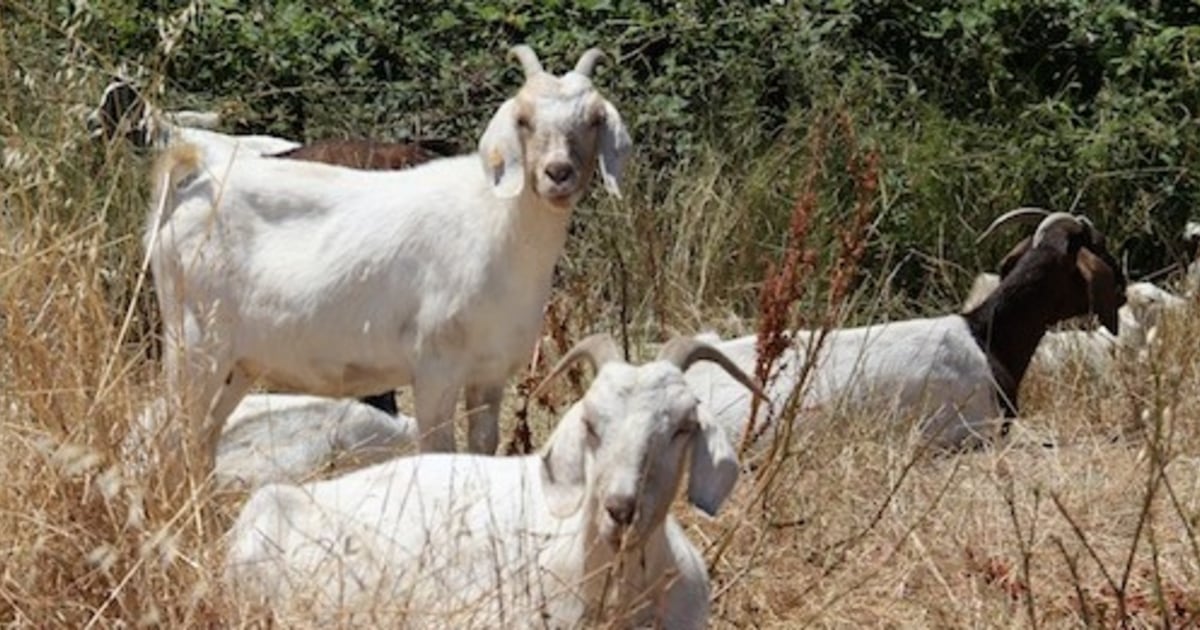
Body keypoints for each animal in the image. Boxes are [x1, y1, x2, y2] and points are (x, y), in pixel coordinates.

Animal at [145, 45, 631, 472]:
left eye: (594, 119)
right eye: (524, 119)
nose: (558, 173)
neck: (498, 222)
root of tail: (193, 185)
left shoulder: (489, 373)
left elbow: (482, 448)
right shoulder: (435, 366)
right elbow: (438, 450)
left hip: (238, 363)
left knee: (203, 437)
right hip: (195, 341)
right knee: (171, 438)